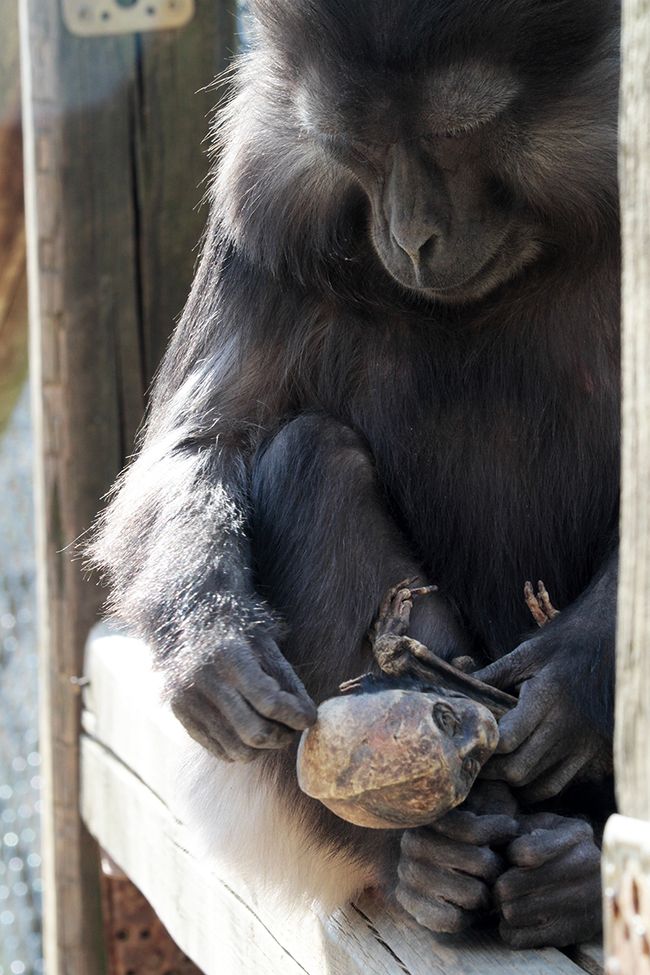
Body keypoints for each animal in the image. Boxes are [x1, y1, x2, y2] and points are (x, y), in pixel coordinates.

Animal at [90, 0, 621, 948]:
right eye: (356, 148)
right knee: (311, 455)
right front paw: (212, 644)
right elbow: (195, 443)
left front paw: (572, 682)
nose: (412, 237)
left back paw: (574, 874)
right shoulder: (266, 200)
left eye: (459, 135)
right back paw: (434, 859)